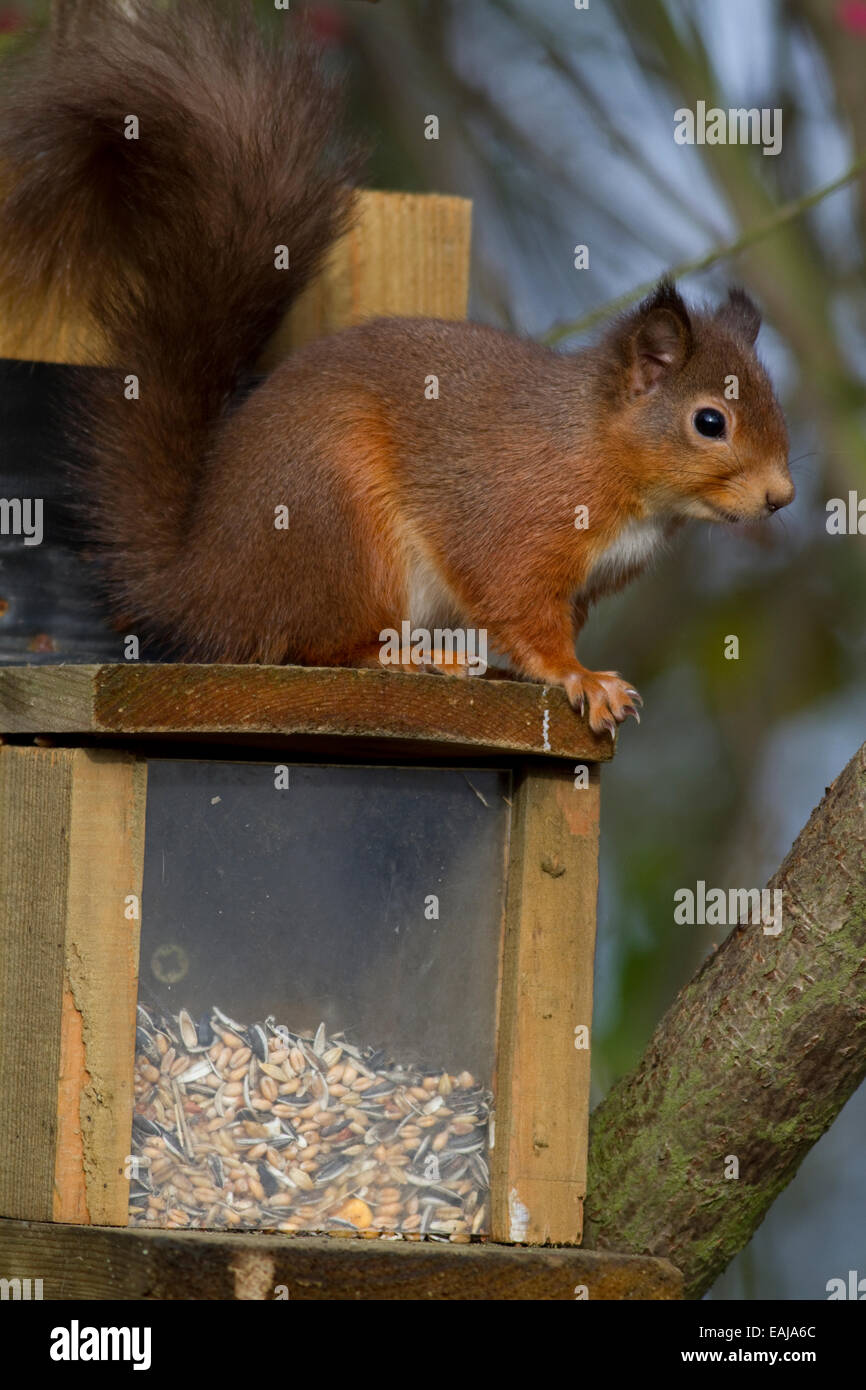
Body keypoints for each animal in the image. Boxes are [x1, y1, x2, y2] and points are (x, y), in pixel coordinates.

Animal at [0, 2, 794, 736]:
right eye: (710, 421)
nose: (781, 497)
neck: (607, 457)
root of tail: (204, 581)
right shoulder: (518, 528)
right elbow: (519, 611)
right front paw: (581, 678)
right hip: (343, 527)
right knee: (320, 647)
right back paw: (415, 657)